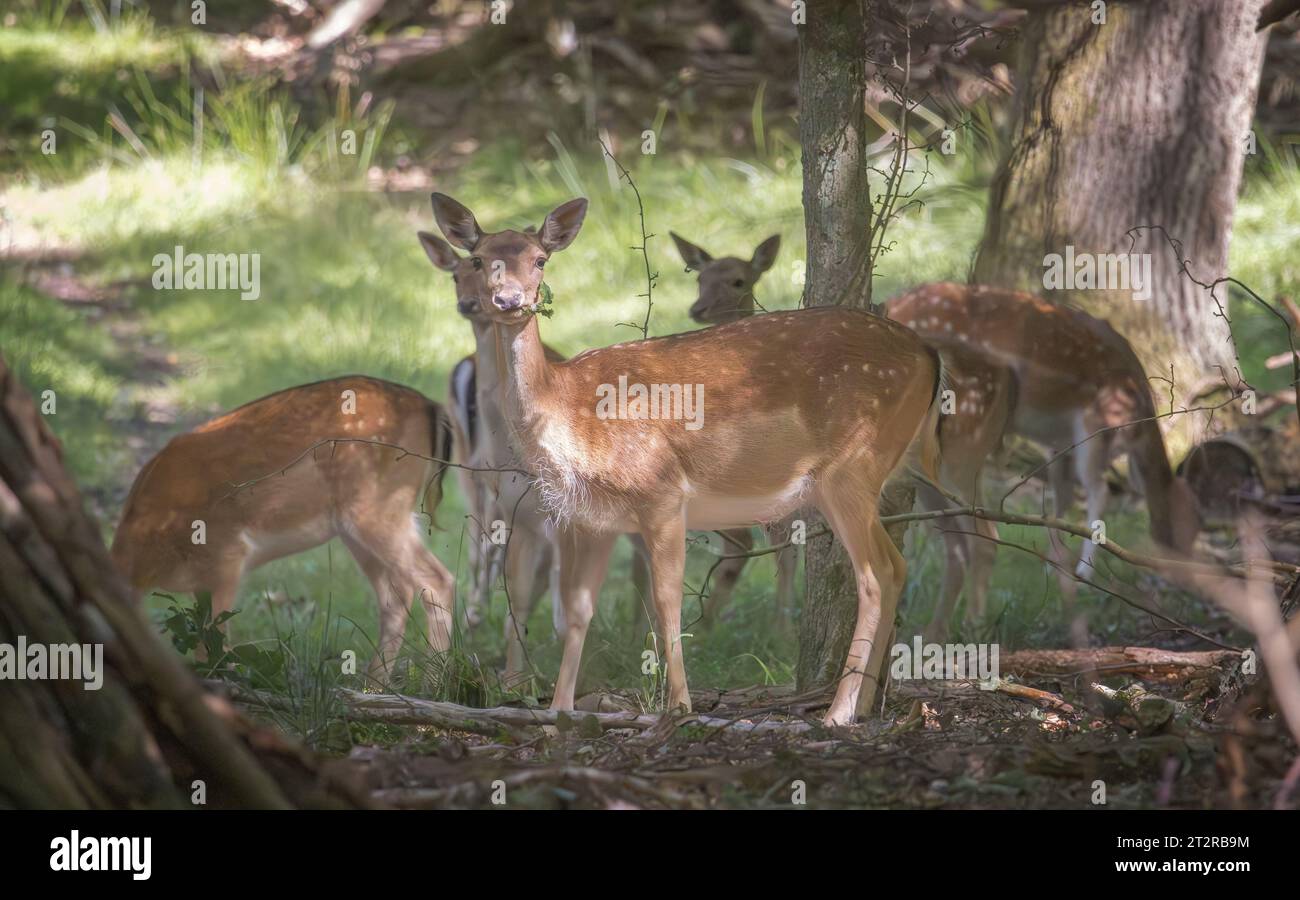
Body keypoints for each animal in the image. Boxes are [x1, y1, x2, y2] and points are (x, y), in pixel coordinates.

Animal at [111, 376, 456, 681]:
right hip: (361, 523)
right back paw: (372, 688)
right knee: (397, 593)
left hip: (378, 504)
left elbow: (214, 645)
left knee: (438, 579)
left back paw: (430, 687)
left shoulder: (224, 554)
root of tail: (430, 405)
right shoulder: (200, 580)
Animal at [429, 193, 945, 726]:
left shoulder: (660, 492)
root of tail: (929, 355)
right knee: (897, 566)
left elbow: (665, 599)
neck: (570, 410)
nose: (509, 301)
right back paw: (862, 703)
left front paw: (678, 705)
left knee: (876, 575)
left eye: (539, 260)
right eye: (477, 259)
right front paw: (558, 709)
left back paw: (839, 711)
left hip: (853, 464)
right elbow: (577, 611)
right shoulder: (592, 520)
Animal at [886, 282, 1202, 641]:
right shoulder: (1095, 420)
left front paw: (1057, 564)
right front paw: (1080, 572)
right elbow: (1091, 491)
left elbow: (1061, 497)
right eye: (1190, 518)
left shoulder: (1061, 442)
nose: (1186, 574)